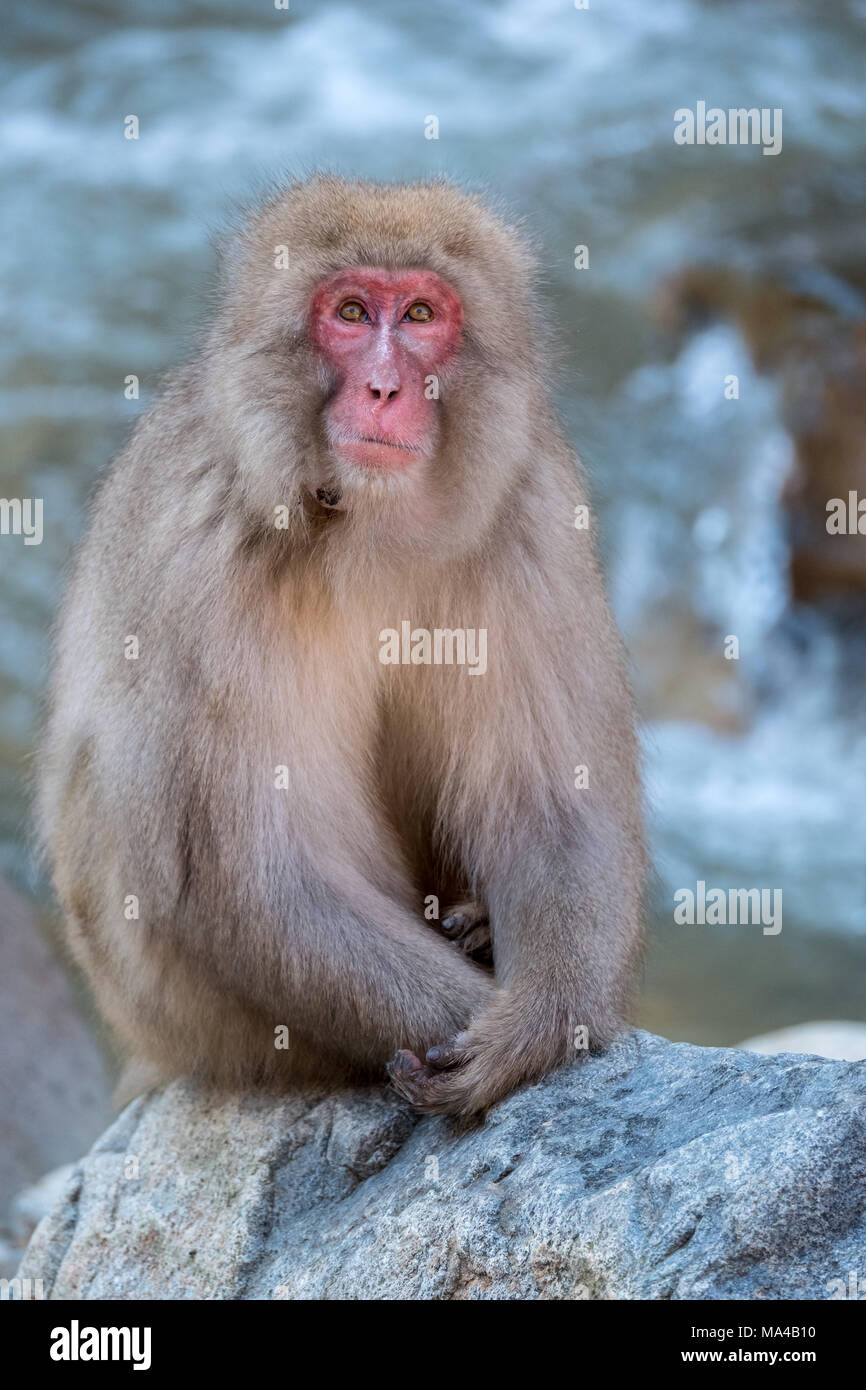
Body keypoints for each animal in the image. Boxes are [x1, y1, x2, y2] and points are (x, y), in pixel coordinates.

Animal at [38, 176, 646, 1119]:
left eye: (422, 313)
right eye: (352, 313)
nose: (387, 388)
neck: (369, 521)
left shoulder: (532, 510)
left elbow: (558, 805)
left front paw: (534, 1023)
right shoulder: (201, 545)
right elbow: (254, 876)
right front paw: (464, 1018)